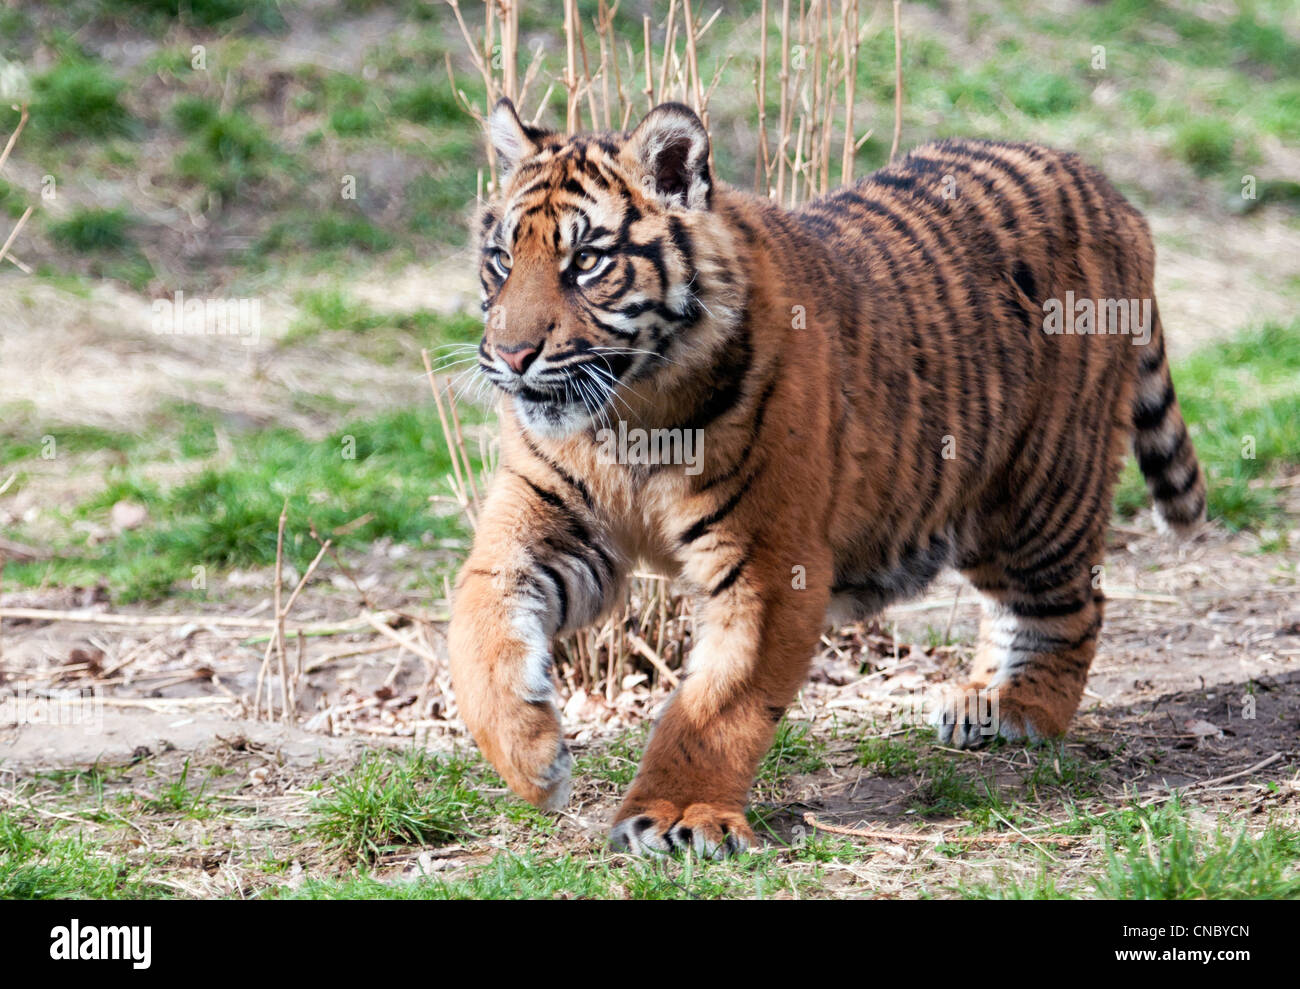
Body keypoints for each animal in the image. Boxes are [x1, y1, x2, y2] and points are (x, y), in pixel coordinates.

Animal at [447, 98, 1206, 858]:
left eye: (587, 262)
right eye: (502, 260)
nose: (510, 356)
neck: (629, 415)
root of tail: (1106, 187)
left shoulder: (768, 565)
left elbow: (716, 706)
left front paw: (676, 815)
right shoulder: (551, 525)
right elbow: (480, 620)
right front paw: (533, 760)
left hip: (1037, 493)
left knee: (1074, 605)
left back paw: (1019, 707)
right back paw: (982, 698)